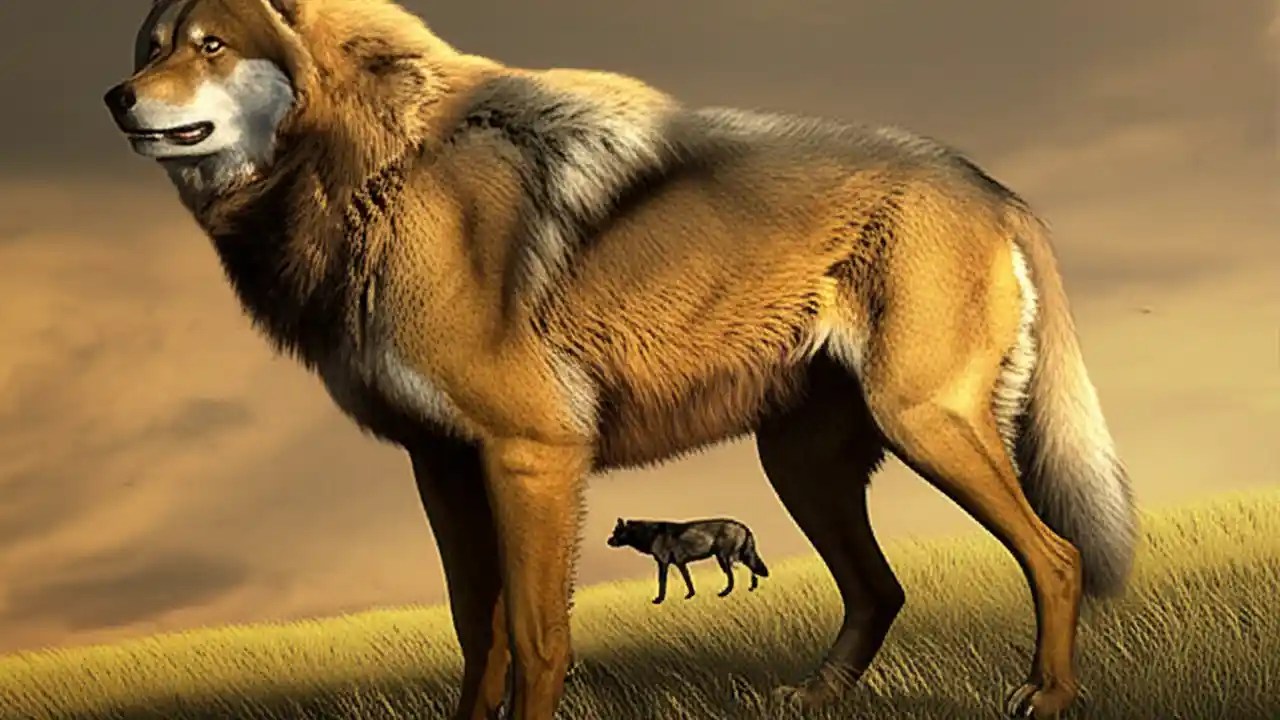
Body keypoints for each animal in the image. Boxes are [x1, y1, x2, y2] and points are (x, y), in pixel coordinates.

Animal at [607, 518, 771, 603]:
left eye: (616, 532)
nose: (608, 541)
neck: (651, 535)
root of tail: (743, 526)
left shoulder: (663, 563)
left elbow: (662, 582)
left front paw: (659, 599)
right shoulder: (681, 563)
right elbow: (688, 580)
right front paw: (690, 595)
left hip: (723, 558)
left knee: (733, 577)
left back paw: (724, 593)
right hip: (736, 558)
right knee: (750, 572)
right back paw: (752, 588)